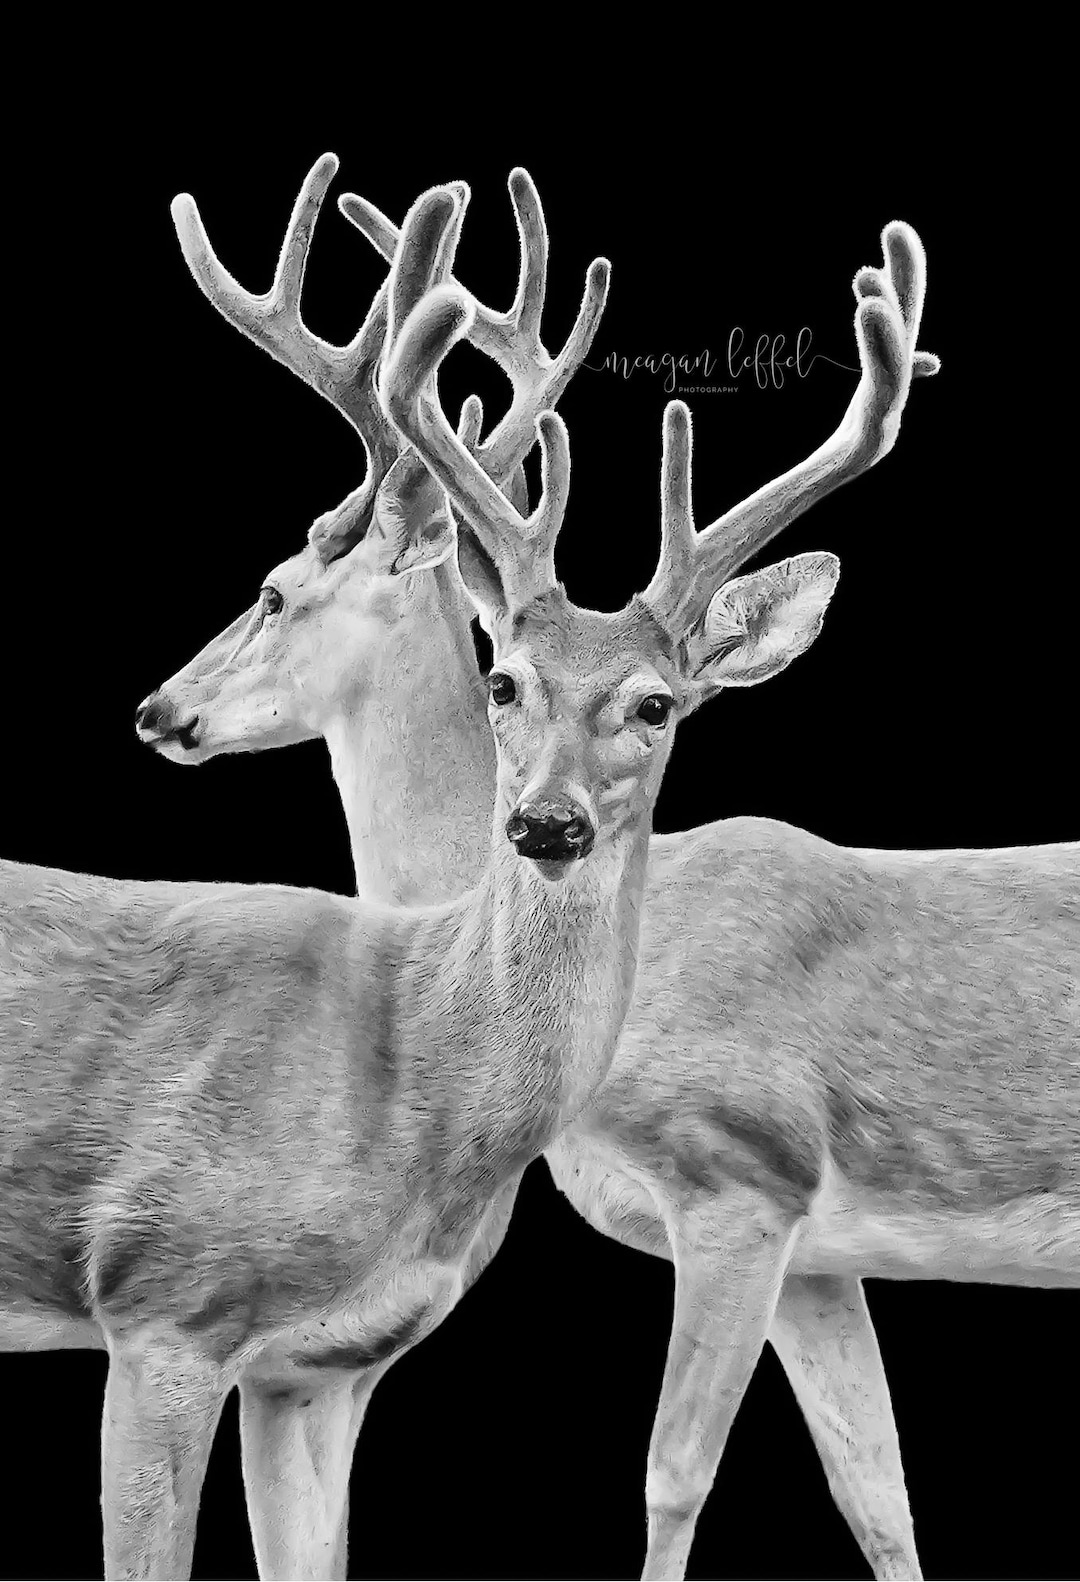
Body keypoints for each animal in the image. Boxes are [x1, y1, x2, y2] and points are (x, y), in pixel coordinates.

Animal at [0, 175, 864, 1582]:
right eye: (503, 678)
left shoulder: (307, 1359)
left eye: (270, 591)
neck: (408, 1054)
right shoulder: (159, 1298)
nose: (158, 708)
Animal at [132, 155, 1059, 1582]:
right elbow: (880, 1494)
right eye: (504, 677)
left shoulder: (741, 1175)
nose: (160, 708)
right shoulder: (819, 1251)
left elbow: (673, 1475)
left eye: (274, 589)